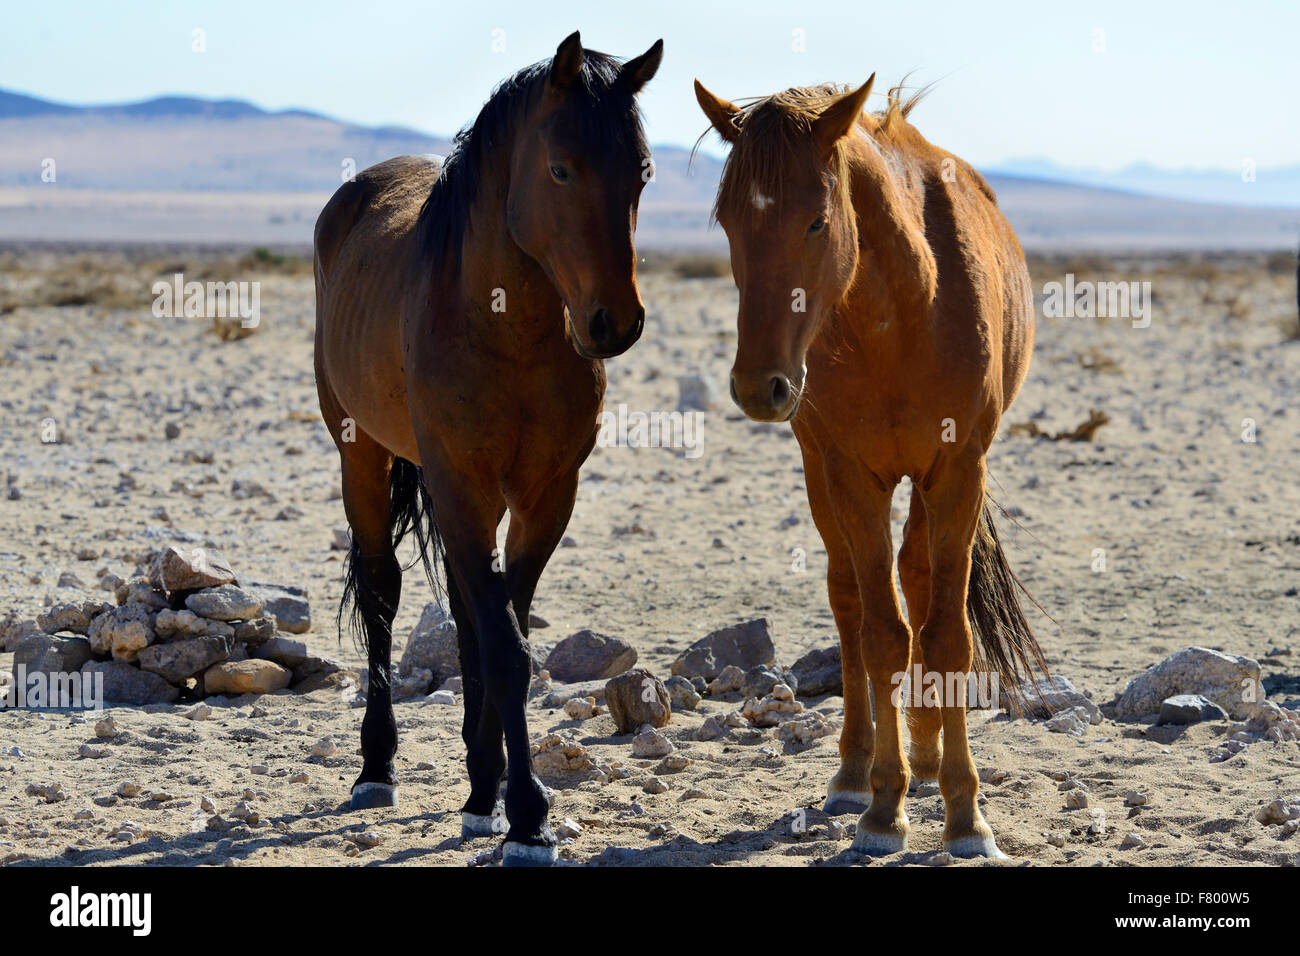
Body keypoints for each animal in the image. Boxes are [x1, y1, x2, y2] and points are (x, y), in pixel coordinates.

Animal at [313, 32, 663, 866]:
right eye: (561, 168)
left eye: (642, 170)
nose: (615, 322)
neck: (506, 326)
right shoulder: (462, 483)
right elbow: (503, 649)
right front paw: (530, 814)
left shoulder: (545, 494)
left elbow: (507, 632)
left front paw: (502, 794)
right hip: (361, 457)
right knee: (383, 593)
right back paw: (376, 769)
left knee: (470, 608)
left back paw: (478, 787)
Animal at [694, 74, 1046, 858]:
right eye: (727, 221)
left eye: (817, 221)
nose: (759, 385)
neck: (904, 314)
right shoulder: (852, 475)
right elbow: (881, 633)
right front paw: (885, 807)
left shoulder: (958, 470)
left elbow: (946, 633)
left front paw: (965, 813)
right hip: (822, 471)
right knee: (852, 601)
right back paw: (859, 771)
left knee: (917, 580)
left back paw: (927, 751)